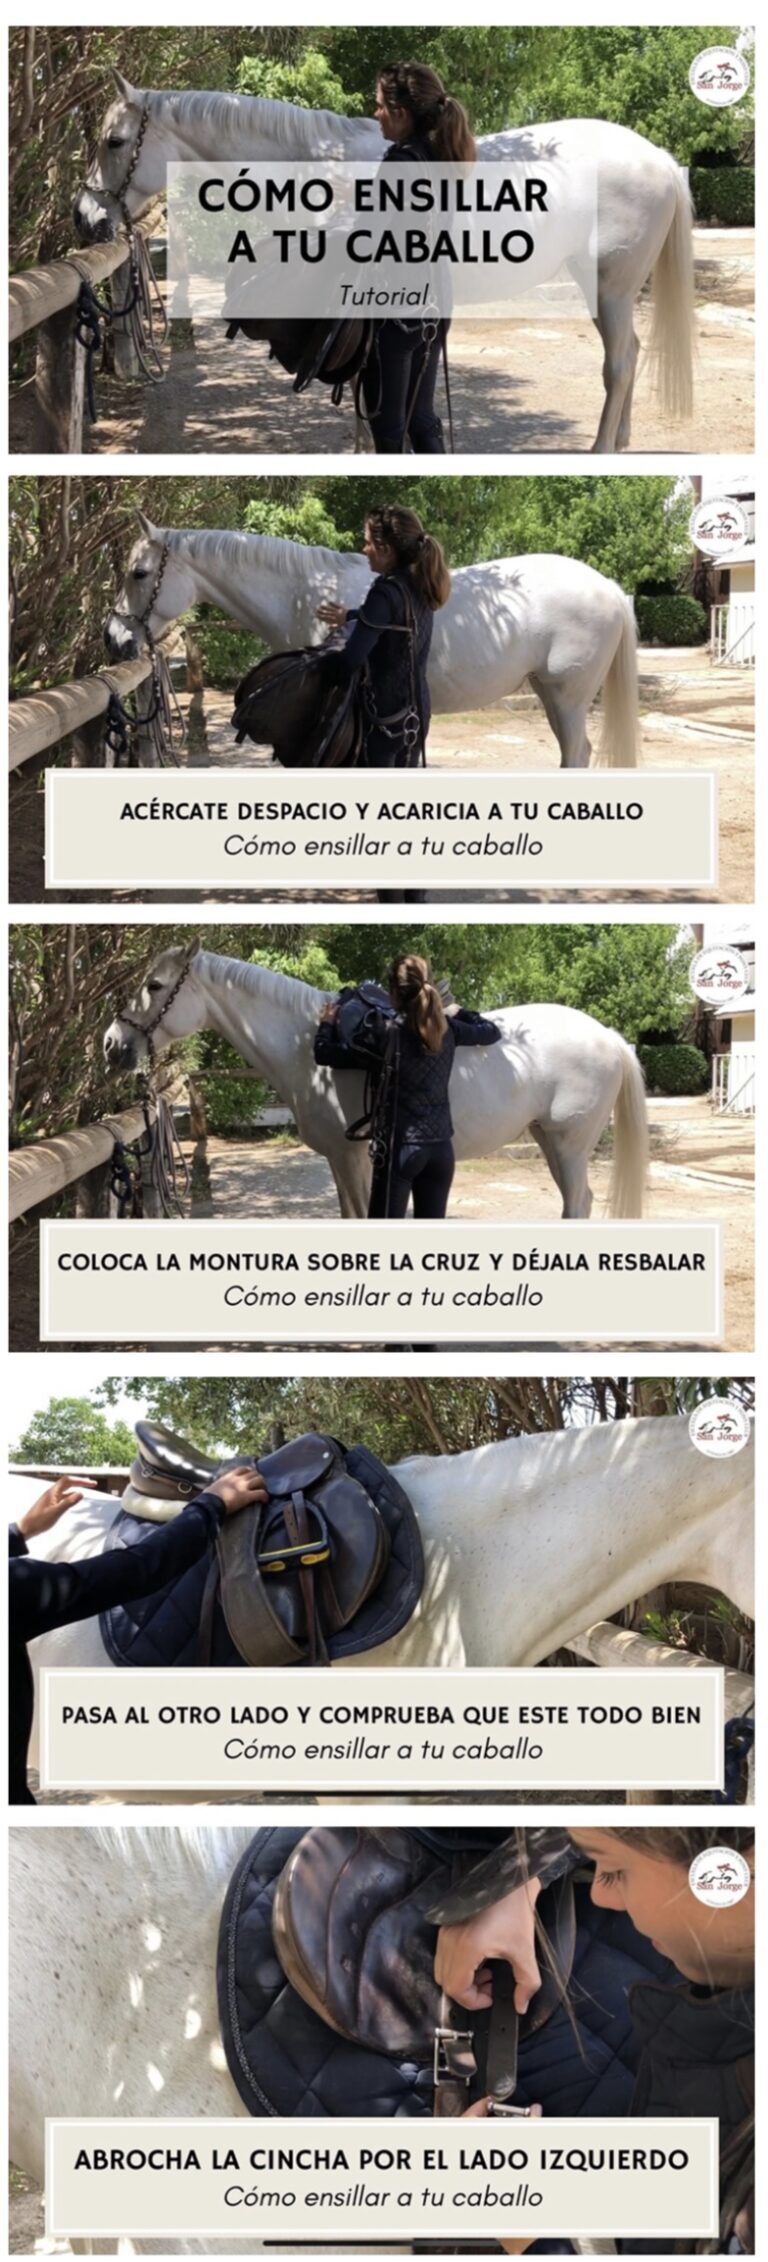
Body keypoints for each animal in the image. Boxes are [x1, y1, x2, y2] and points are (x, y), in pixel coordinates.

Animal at [73, 74, 695, 453]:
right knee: (631, 354)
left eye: (113, 140)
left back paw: (601, 449)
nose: (84, 216)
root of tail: (659, 158)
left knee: (619, 364)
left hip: (609, 288)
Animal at [102, 942, 649, 1220]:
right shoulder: (344, 1160)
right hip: (551, 1141)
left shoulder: (351, 1158)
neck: (307, 1045)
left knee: (577, 1203)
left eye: (155, 985)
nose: (111, 1044)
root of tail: (607, 1036)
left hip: (569, 1144)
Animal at [104, 518, 639, 770]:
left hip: (567, 699)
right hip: (553, 696)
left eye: (140, 573)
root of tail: (610, 588)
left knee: (577, 754)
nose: (114, 638)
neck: (306, 592)